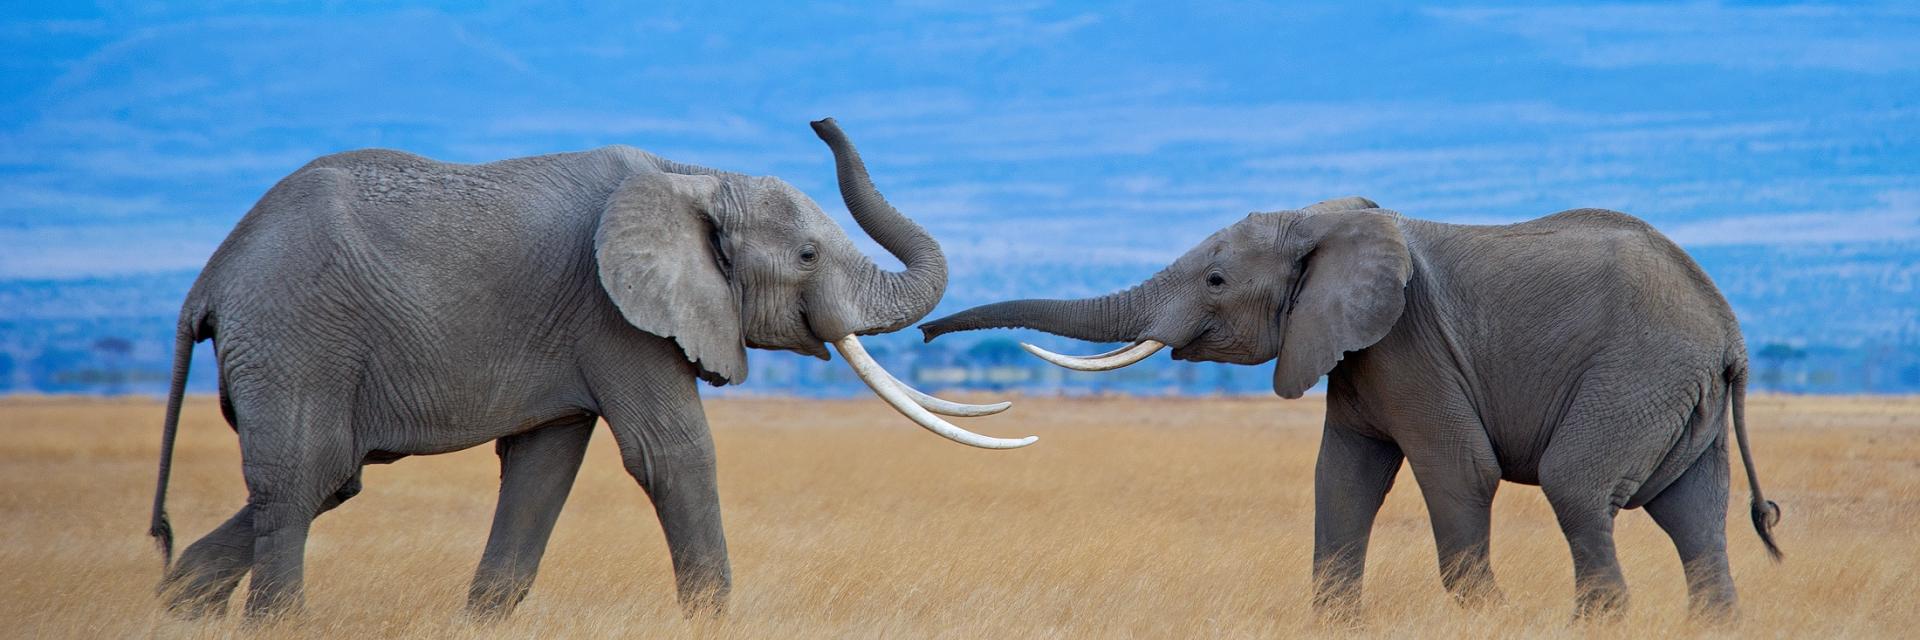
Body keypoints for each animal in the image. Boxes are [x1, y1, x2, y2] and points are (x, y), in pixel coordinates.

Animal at [147, 118, 1035, 620]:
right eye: (810, 255)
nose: (821, 117)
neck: (693, 175)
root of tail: (208, 280)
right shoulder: (613, 312)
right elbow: (674, 453)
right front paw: (713, 621)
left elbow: (543, 468)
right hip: (296, 336)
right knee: (306, 475)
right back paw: (272, 620)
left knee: (329, 479)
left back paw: (178, 606)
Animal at [921, 196, 1781, 621]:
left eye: (1216, 282)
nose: (925, 332)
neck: (1328, 219)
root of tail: (1729, 330)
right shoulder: (1355, 349)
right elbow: (1342, 479)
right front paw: (1337, 621)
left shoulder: (1410, 342)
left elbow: (1458, 471)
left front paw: (1491, 617)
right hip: (1675, 394)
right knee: (1695, 516)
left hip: (1634, 373)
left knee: (1578, 488)